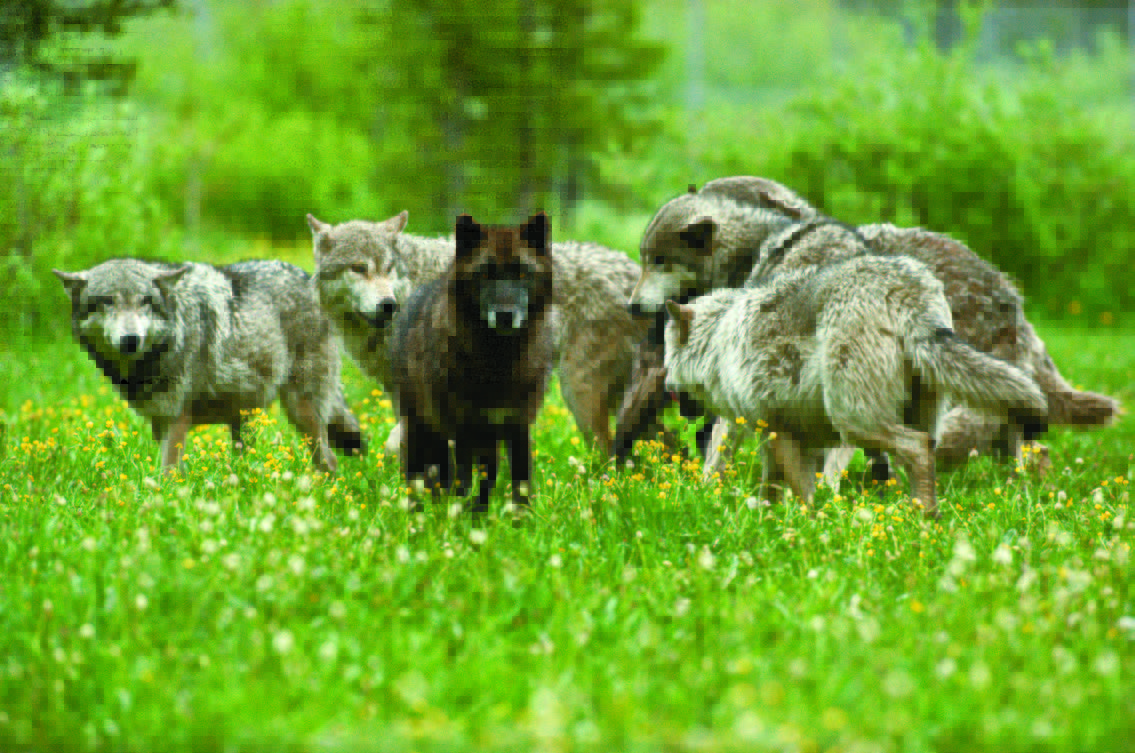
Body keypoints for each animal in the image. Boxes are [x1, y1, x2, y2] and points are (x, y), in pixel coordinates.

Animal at [55, 258, 366, 473]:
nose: (131, 340)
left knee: (330, 461)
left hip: (301, 411)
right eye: (107, 302)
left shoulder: (176, 419)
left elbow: (167, 475)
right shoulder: (160, 422)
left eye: (145, 302)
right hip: (244, 419)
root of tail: (310, 278)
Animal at [389, 213, 556, 515]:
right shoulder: (463, 428)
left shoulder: (518, 424)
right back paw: (419, 511)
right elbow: (463, 483)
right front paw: (461, 517)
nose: (505, 315)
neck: (499, 363)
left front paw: (522, 520)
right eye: (486, 273)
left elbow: (521, 481)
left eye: (522, 273)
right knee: (418, 473)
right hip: (422, 427)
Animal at [664, 255, 1049, 518]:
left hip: (853, 422)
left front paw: (805, 526)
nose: (667, 386)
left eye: (667, 358)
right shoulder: (791, 439)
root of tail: (905, 291)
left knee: (918, 448)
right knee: (924, 455)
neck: (719, 337)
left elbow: (799, 492)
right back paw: (925, 520)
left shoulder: (780, 433)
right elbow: (776, 488)